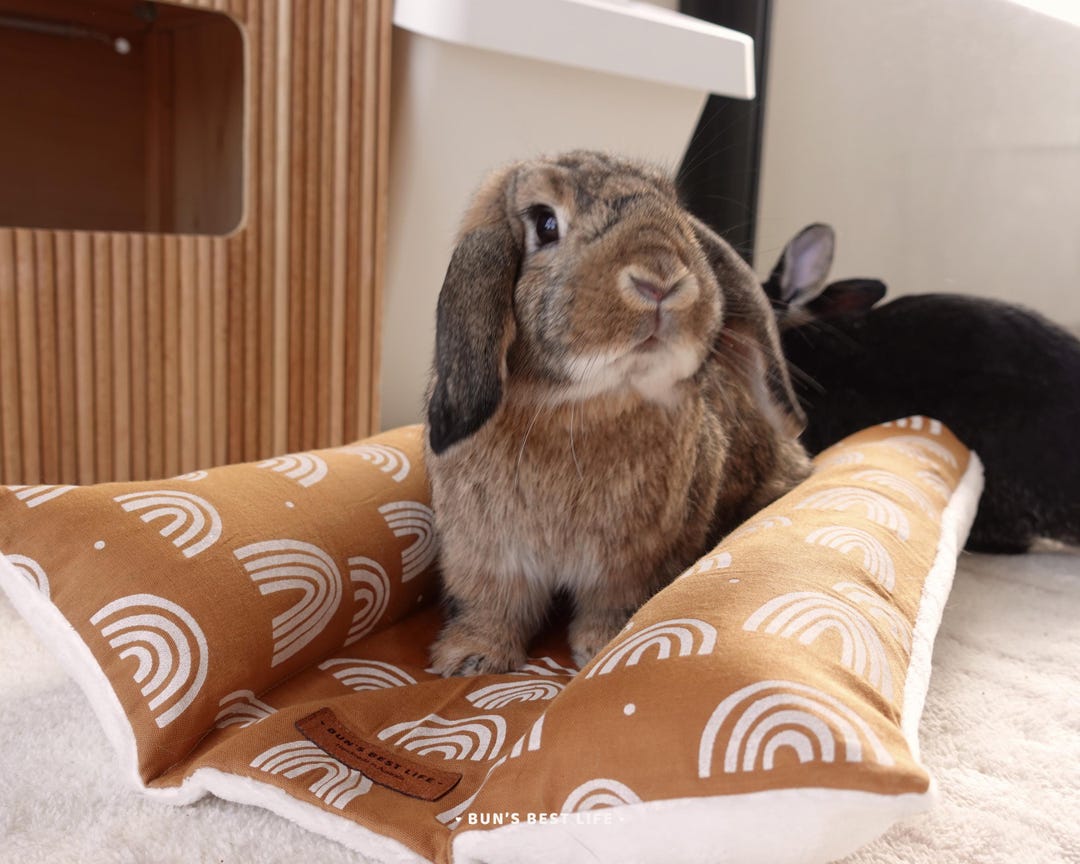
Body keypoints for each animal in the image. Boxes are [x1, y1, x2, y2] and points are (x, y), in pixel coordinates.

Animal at [424, 150, 812, 676]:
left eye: (674, 211)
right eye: (545, 222)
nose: (661, 278)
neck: (579, 407)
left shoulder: (632, 564)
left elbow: (612, 606)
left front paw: (604, 648)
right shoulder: (485, 555)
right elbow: (491, 605)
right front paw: (470, 659)